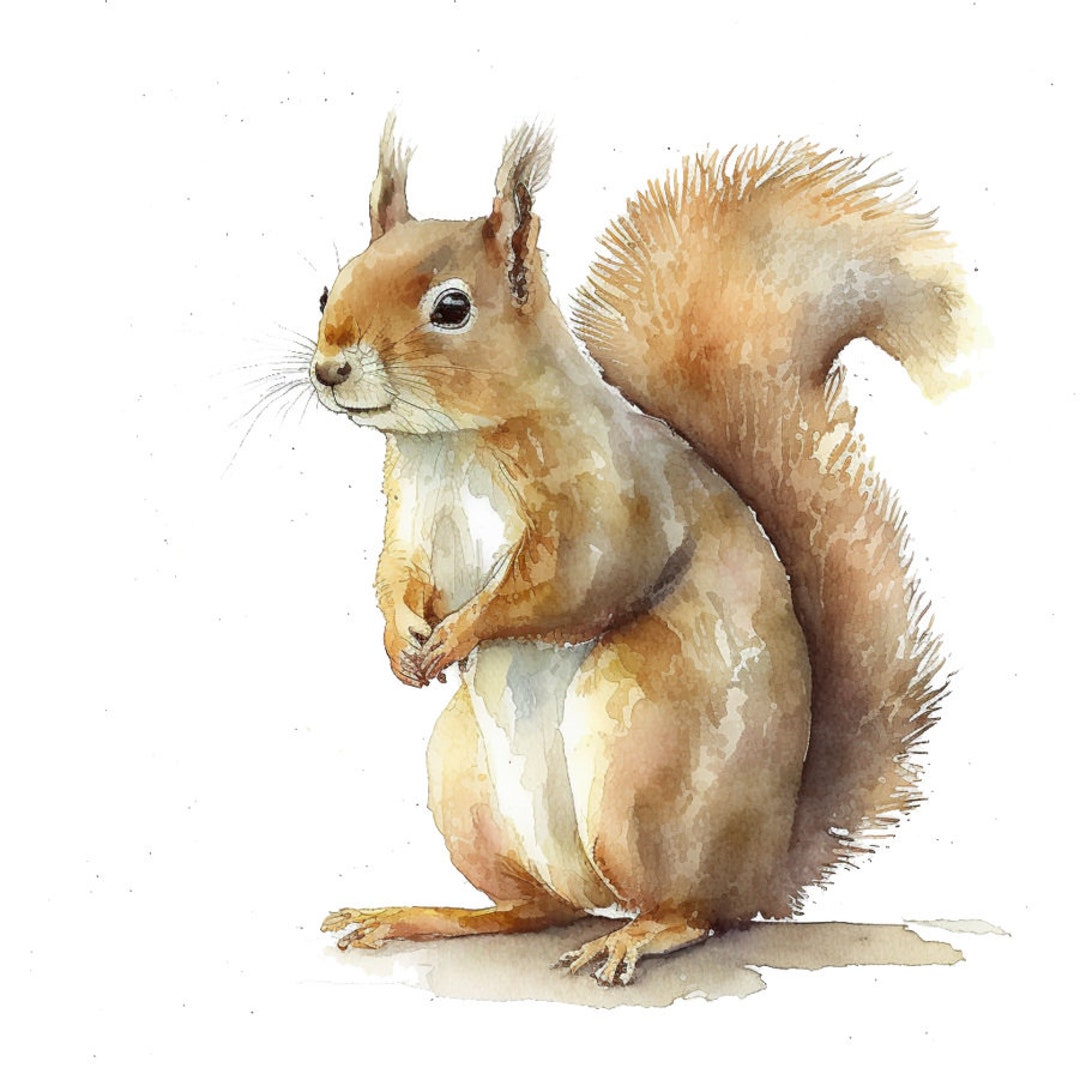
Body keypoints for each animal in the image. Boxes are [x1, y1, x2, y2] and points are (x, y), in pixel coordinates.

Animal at [308, 118, 975, 986]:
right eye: (327, 290)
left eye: (451, 307)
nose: (329, 369)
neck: (450, 444)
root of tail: (765, 869)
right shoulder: (411, 515)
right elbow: (397, 575)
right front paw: (401, 642)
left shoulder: (606, 497)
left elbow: (571, 580)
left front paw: (457, 634)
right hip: (464, 788)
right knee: (537, 908)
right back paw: (421, 916)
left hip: (644, 769)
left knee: (691, 910)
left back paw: (637, 936)